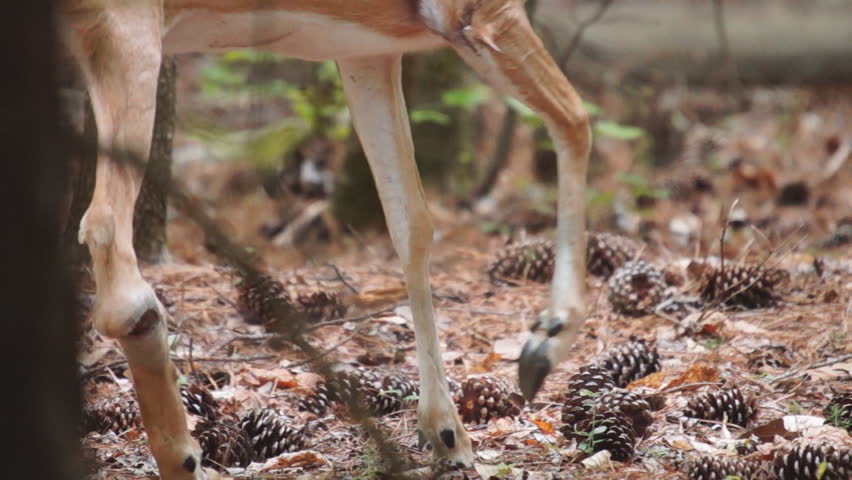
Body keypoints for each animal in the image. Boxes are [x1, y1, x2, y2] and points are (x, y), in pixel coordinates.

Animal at [58, 0, 590, 478]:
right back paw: (183, 456)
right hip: (125, 25)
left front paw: (445, 432)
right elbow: (575, 120)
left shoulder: (365, 50)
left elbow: (410, 220)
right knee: (106, 232)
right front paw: (546, 341)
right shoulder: (480, 10)